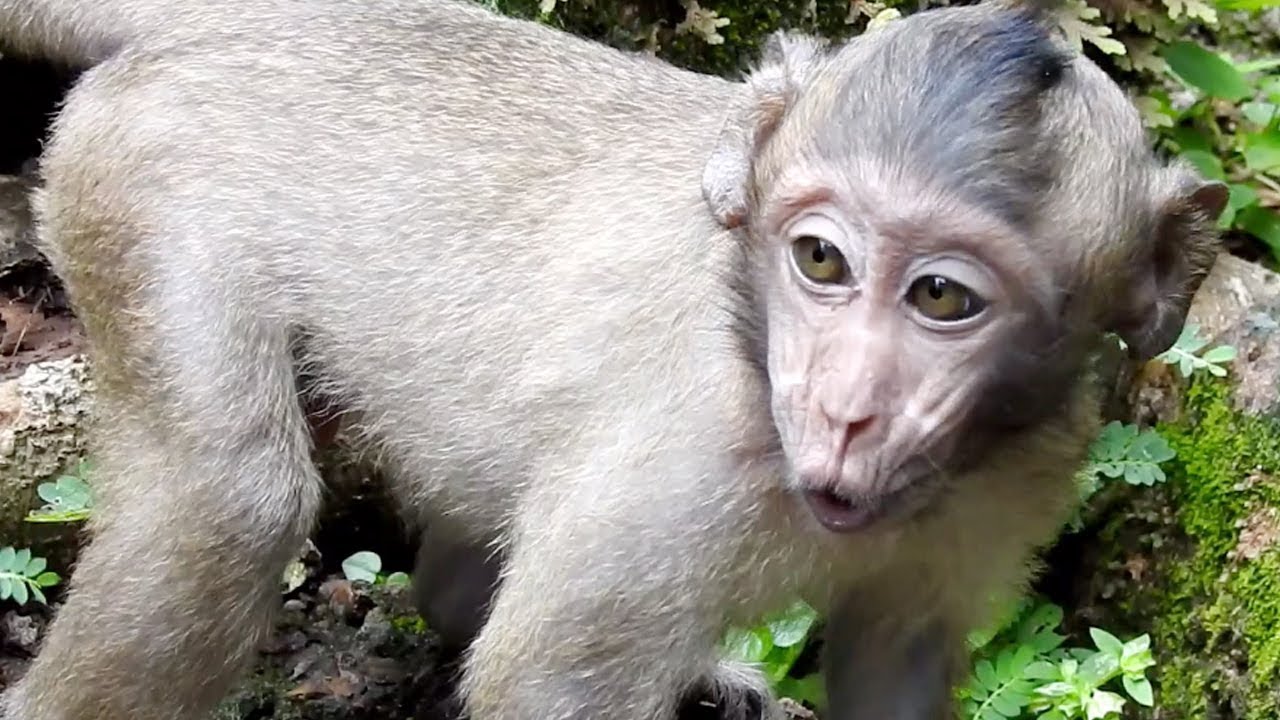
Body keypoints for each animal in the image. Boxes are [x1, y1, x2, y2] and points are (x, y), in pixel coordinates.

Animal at [0, 0, 1228, 718]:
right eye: (821, 260)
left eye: (941, 298)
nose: (842, 411)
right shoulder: (688, 458)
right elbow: (550, 683)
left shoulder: (1023, 469)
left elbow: (900, 659)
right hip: (139, 172)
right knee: (231, 497)